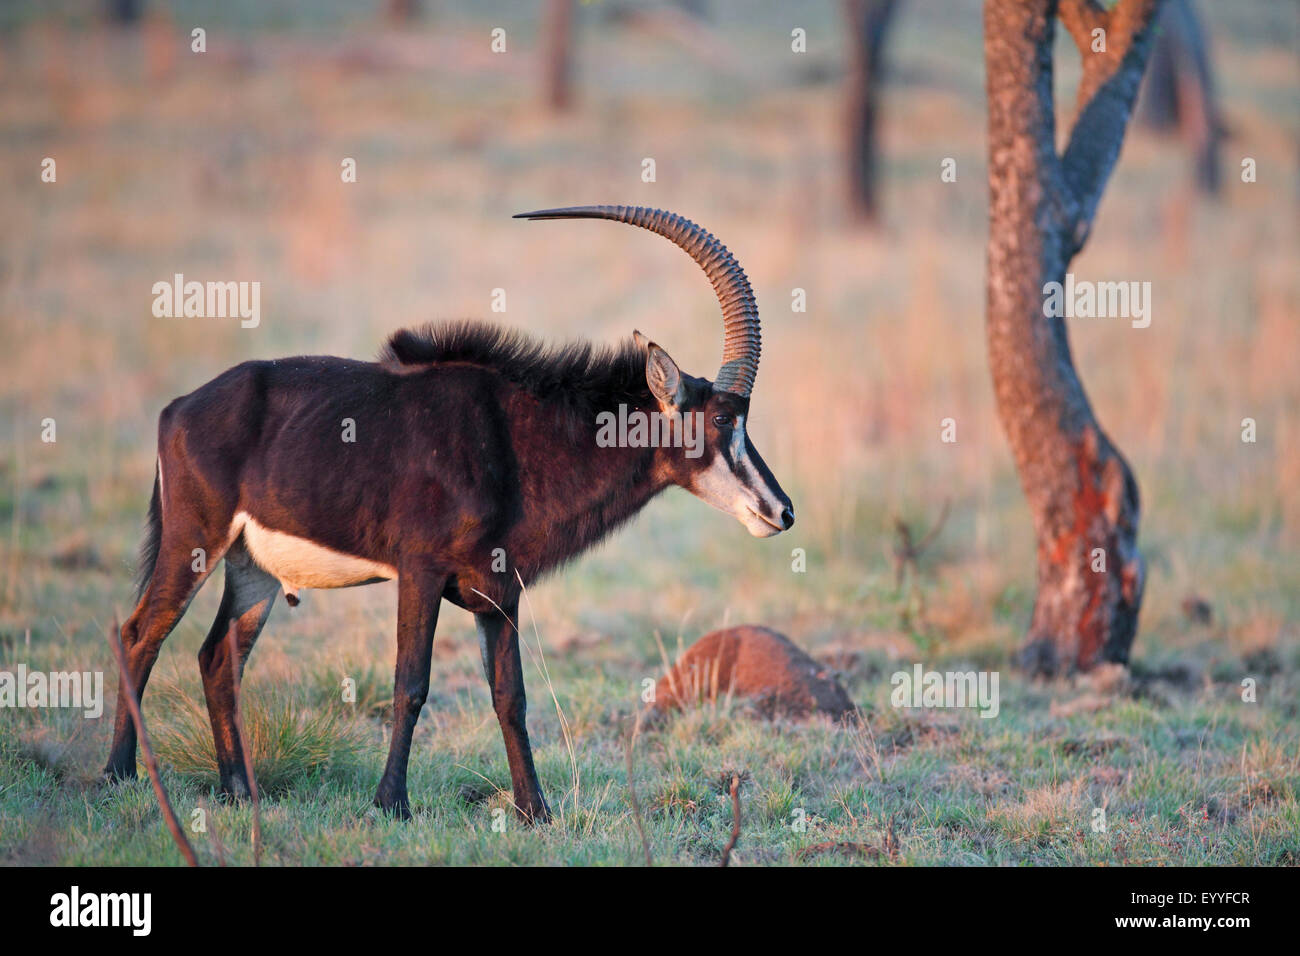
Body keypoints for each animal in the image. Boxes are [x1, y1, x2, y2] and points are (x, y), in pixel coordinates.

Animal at [104, 205, 794, 823]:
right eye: (722, 420)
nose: (782, 512)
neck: (515, 439)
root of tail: (179, 407)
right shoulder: (421, 571)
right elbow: (411, 682)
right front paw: (391, 804)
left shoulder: (500, 590)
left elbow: (510, 694)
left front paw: (534, 811)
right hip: (194, 542)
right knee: (140, 634)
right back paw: (119, 776)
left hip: (253, 569)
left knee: (218, 658)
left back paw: (238, 791)